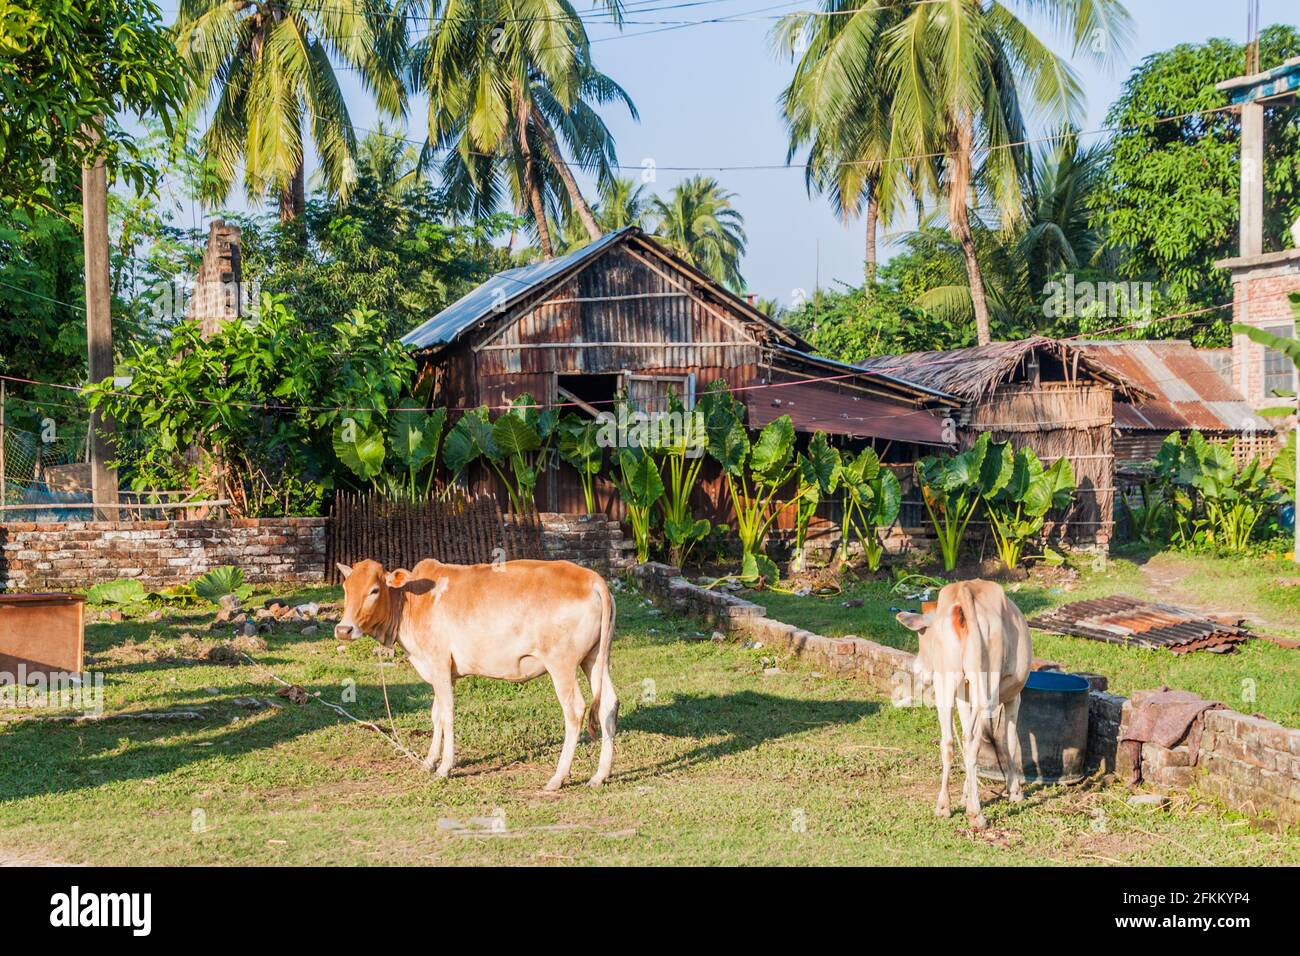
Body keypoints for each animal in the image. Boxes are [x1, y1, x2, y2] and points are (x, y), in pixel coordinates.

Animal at [334, 557, 617, 791]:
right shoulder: (442, 672)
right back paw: (599, 776)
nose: (344, 629)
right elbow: (436, 715)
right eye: (346, 589)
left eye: (374, 590)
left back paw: (557, 778)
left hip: (561, 664)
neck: (411, 600)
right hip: (595, 659)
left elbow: (447, 714)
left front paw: (444, 768)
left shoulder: (438, 663)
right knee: (608, 705)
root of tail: (591, 578)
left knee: (575, 710)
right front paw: (429, 761)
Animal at [896, 580, 1031, 829]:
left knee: (950, 741)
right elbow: (1010, 741)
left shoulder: (962, 697)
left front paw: (966, 795)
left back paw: (943, 806)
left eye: (922, 636)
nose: (918, 668)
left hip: (946, 682)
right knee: (973, 742)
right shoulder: (1013, 697)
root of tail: (964, 591)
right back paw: (976, 814)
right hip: (985, 684)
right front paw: (1015, 791)